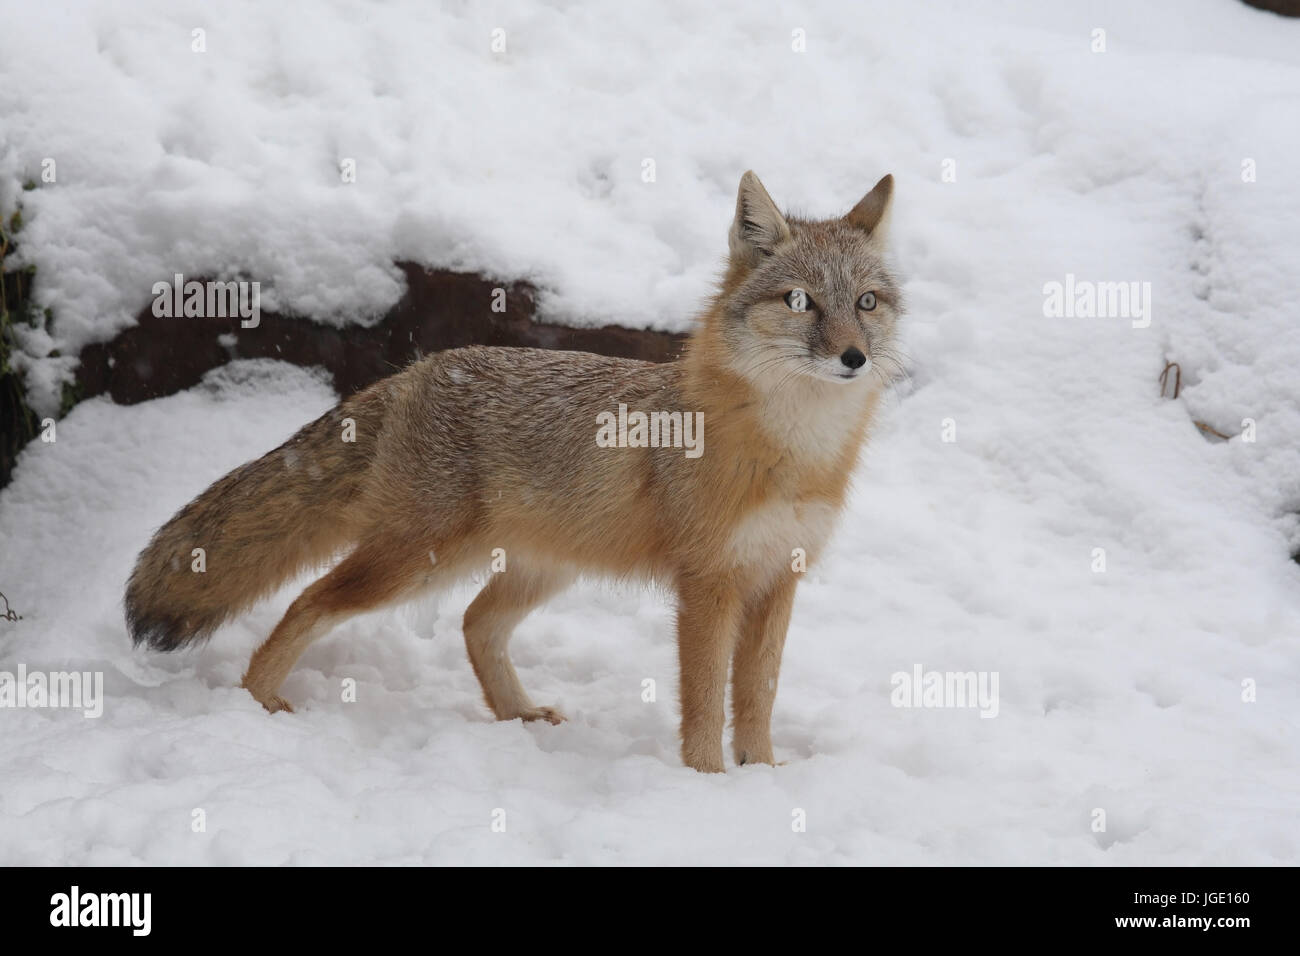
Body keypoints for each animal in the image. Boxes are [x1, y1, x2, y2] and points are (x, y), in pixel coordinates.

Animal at [125, 171, 903, 773]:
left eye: (866, 302)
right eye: (801, 300)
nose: (854, 357)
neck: (793, 456)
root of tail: (417, 369)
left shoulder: (778, 579)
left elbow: (758, 698)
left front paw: (763, 777)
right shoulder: (710, 584)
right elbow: (708, 703)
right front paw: (709, 781)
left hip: (536, 569)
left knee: (475, 623)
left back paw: (516, 716)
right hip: (418, 561)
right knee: (308, 602)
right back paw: (257, 700)